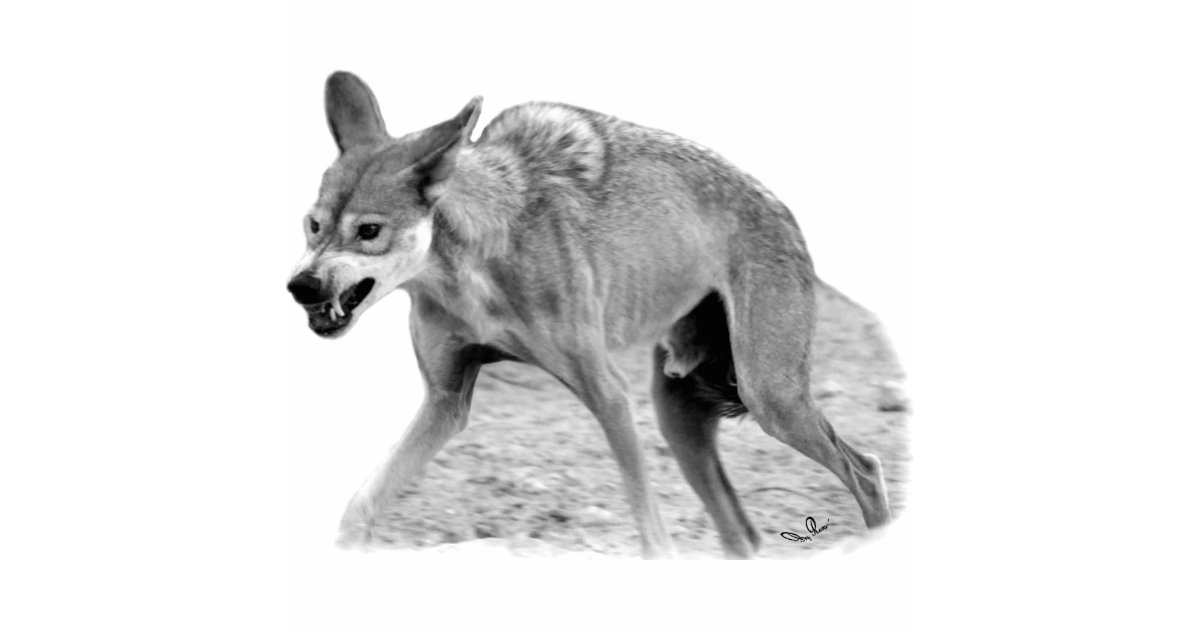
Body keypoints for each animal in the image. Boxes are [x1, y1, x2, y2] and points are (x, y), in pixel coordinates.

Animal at [287, 71, 891, 558]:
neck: (475, 265)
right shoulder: (446, 402)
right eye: (313, 225)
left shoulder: (608, 393)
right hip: (680, 418)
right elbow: (358, 508)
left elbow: (653, 537)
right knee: (744, 533)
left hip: (770, 401)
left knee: (867, 470)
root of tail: (786, 211)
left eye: (369, 231)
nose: (300, 286)